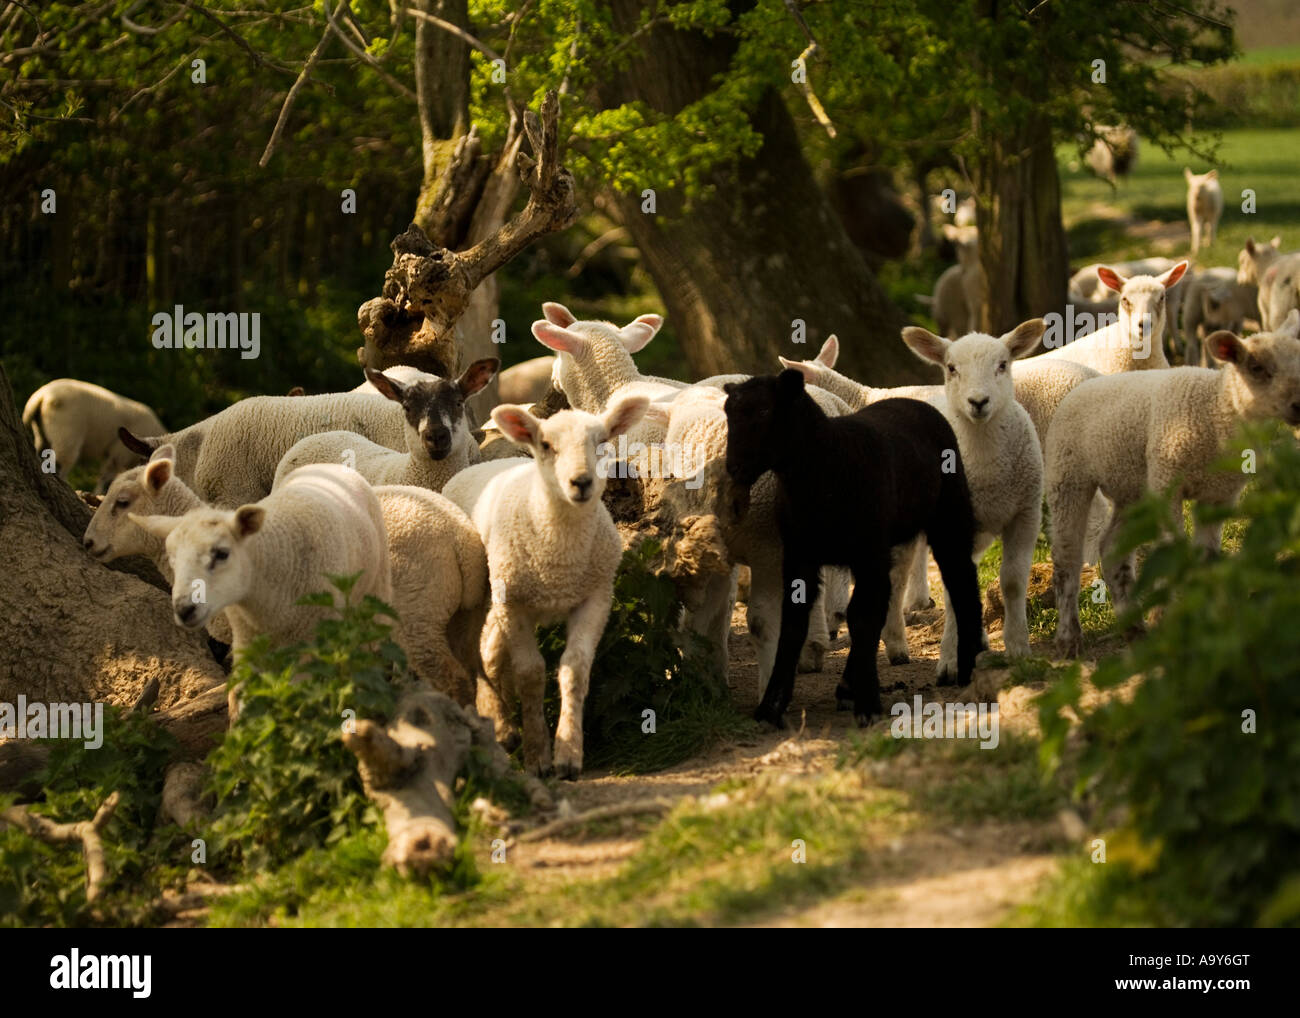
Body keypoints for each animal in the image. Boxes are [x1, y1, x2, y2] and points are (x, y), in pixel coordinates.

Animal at [23, 378, 164, 491]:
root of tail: (41, 395)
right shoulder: (118, 452)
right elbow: (106, 476)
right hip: (66, 432)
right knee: (61, 462)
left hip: (42, 432)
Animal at [441, 394, 650, 778]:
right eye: (547, 445)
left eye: (601, 441)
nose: (581, 481)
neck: (560, 560)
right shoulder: (516, 607)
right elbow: (531, 674)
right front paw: (537, 756)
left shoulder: (595, 599)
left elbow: (574, 669)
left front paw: (568, 754)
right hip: (483, 592)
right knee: (475, 653)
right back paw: (501, 723)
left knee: (491, 650)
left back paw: (505, 721)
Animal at [722, 372, 983, 727]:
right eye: (728, 413)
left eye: (764, 411)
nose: (733, 468)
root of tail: (911, 402)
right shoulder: (799, 555)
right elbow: (794, 624)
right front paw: (771, 706)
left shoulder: (868, 553)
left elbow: (862, 619)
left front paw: (868, 702)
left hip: (948, 511)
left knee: (961, 579)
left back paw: (968, 665)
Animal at [900, 320, 1045, 671]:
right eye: (952, 368)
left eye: (1003, 365)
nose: (978, 402)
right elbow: (954, 591)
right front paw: (951, 659)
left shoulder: (1026, 514)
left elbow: (1013, 581)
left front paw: (1018, 648)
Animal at [1047, 310, 1300, 657]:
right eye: (1256, 368)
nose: (1299, 405)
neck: (1216, 411)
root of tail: (1087, 382)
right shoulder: (1168, 483)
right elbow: (1177, 553)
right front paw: (1171, 618)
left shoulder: (1219, 496)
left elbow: (1206, 558)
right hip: (1068, 475)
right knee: (1066, 558)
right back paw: (1068, 639)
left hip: (1134, 488)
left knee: (1112, 549)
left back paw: (1134, 628)